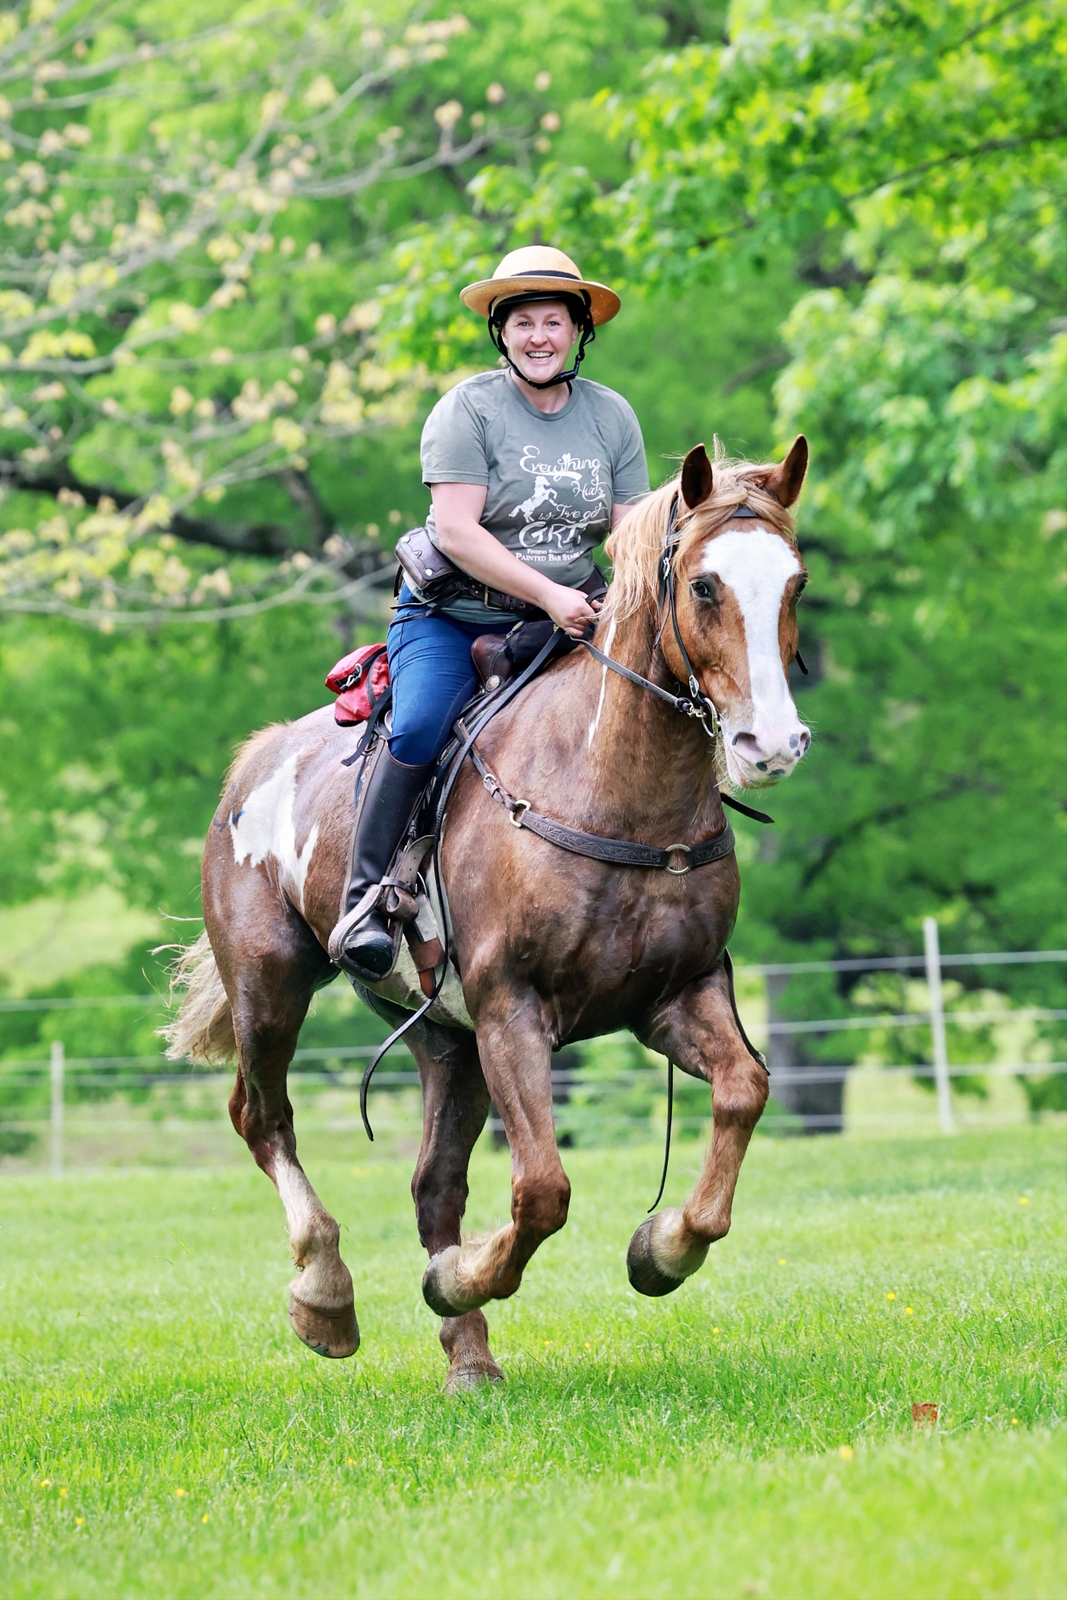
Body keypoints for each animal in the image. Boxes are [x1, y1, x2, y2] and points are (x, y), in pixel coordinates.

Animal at [164, 438, 811, 1393]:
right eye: (703, 586)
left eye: (794, 583)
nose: (770, 745)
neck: (612, 789)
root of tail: (254, 762)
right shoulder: (512, 1009)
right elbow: (542, 1189)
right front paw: (458, 1275)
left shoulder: (676, 996)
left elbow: (742, 1093)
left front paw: (660, 1248)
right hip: (269, 985)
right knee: (263, 1119)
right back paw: (325, 1295)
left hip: (445, 1042)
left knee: (433, 1185)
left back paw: (468, 1358)